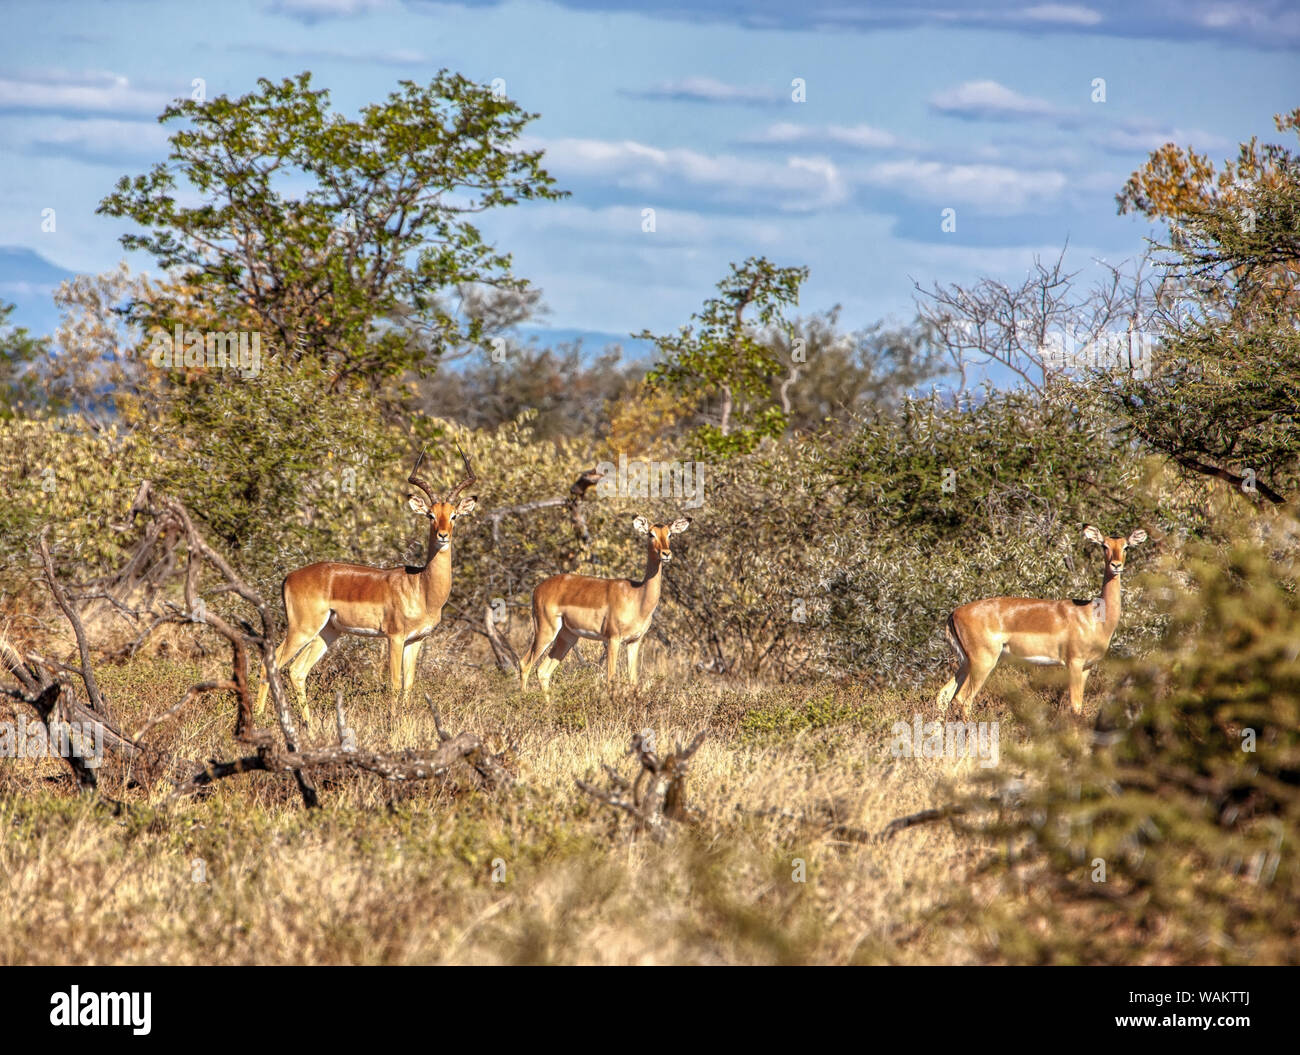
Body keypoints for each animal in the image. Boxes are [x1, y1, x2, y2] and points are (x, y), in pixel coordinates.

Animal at [255, 447, 478, 724]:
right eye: (430, 515)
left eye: (454, 515)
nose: (443, 535)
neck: (421, 588)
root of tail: (290, 576)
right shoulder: (395, 638)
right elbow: (394, 683)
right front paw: (393, 725)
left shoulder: (416, 641)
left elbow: (409, 684)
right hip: (302, 629)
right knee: (270, 661)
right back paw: (259, 719)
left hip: (328, 632)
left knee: (297, 670)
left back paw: (309, 725)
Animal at [519, 515, 690, 696]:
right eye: (651, 534)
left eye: (670, 534)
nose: (666, 553)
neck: (638, 597)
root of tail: (537, 588)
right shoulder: (613, 639)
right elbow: (611, 679)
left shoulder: (634, 641)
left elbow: (633, 682)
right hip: (546, 631)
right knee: (525, 664)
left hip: (567, 636)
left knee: (543, 671)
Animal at [936, 525, 1147, 717]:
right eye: (1104, 545)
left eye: (1126, 546)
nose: (1116, 565)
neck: (1094, 616)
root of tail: (954, 613)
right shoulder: (1074, 663)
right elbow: (1075, 707)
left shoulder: (1087, 667)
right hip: (983, 662)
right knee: (963, 700)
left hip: (966, 662)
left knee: (943, 695)